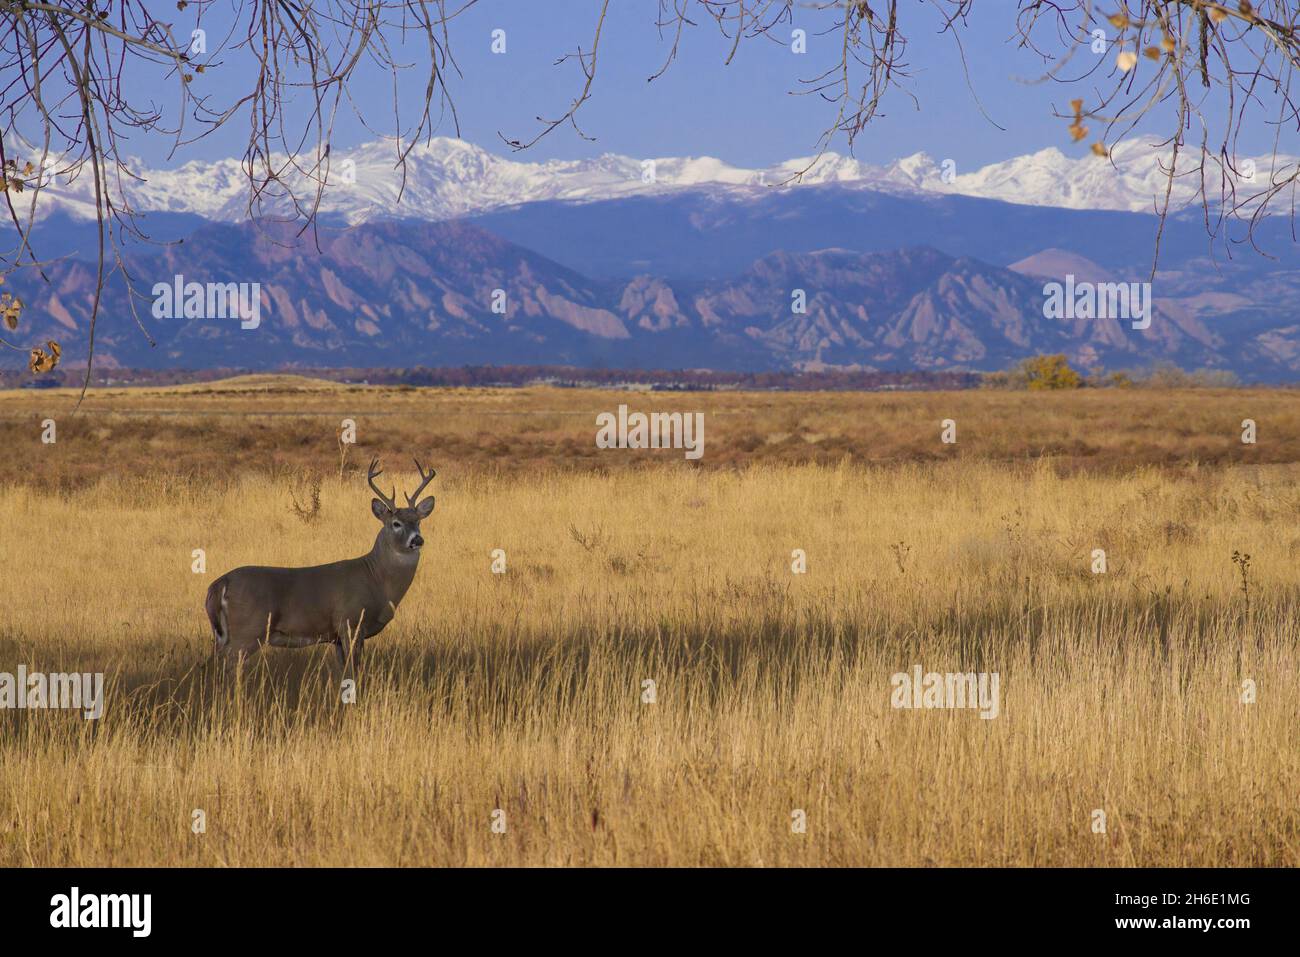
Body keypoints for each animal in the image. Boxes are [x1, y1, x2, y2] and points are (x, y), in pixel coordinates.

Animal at [205, 458, 436, 669]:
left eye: (418, 521)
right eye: (396, 523)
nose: (417, 539)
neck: (376, 579)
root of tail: (220, 584)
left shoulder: (336, 637)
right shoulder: (350, 623)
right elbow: (354, 670)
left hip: (225, 635)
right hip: (248, 629)